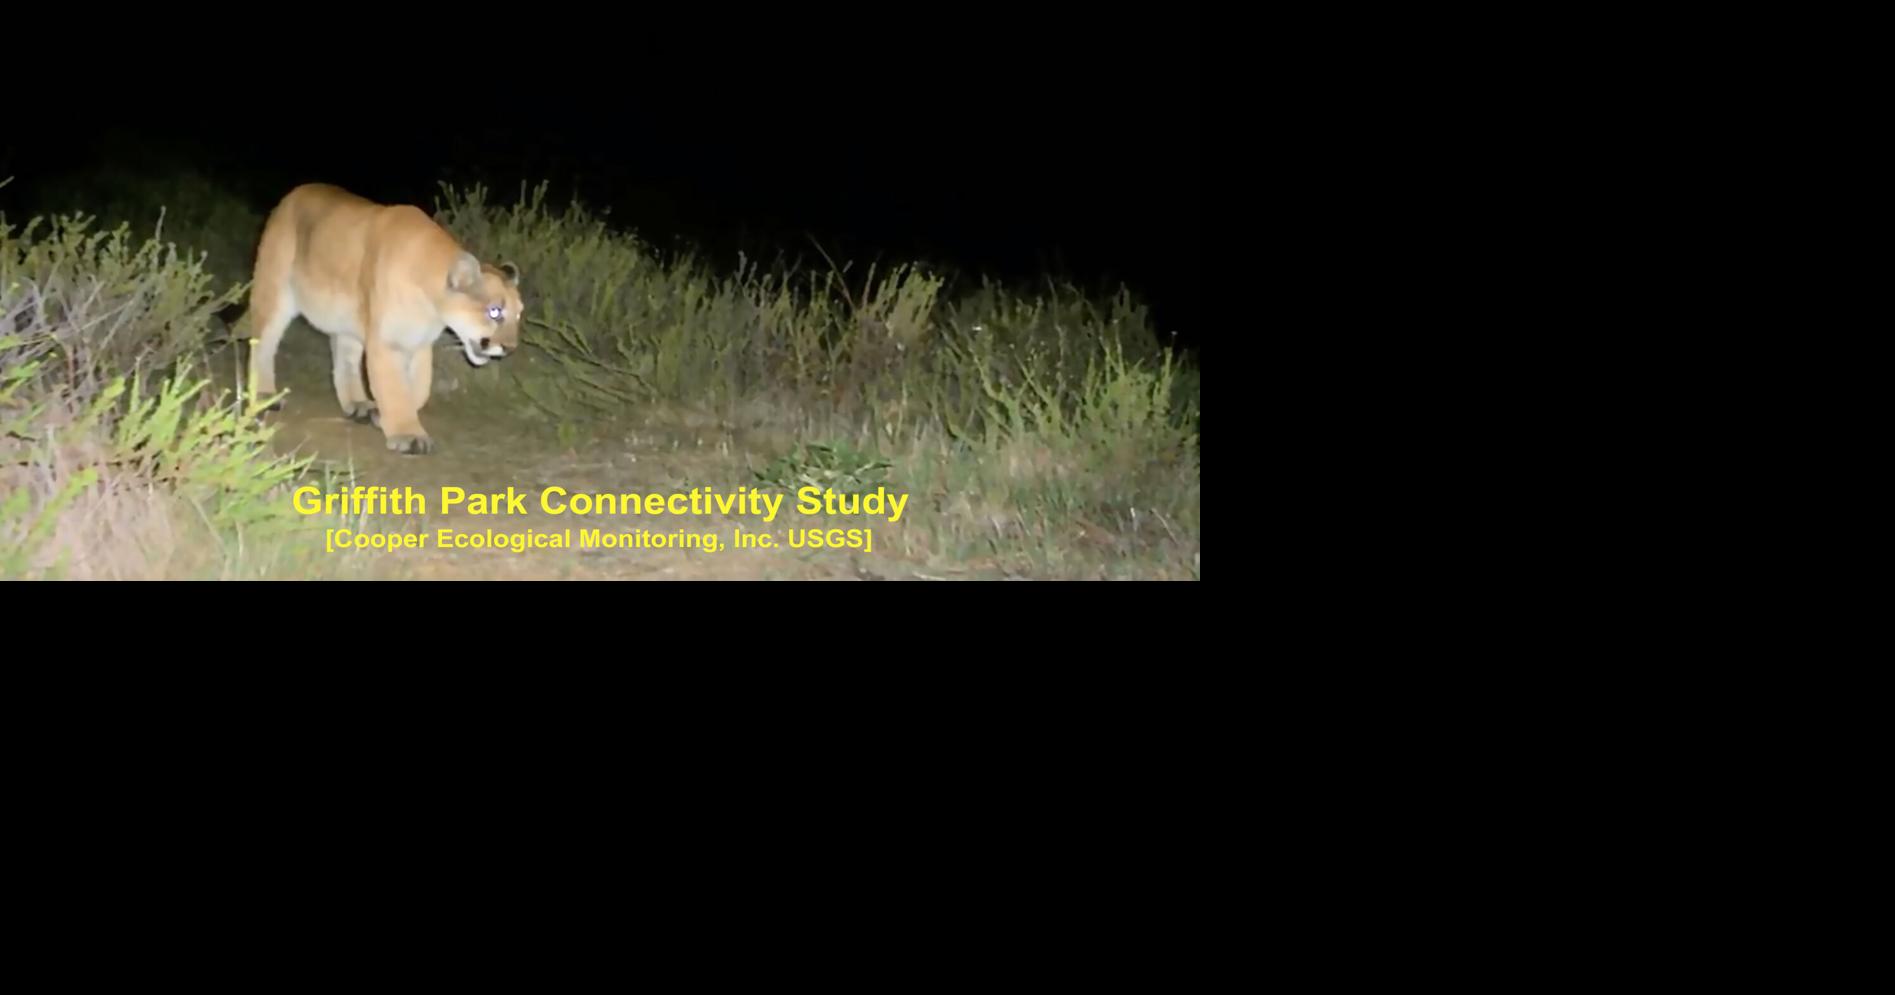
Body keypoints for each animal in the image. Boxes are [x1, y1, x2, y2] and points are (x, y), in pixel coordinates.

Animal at [244, 183, 523, 454]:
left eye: (519, 314)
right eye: (495, 312)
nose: (510, 348)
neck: (430, 303)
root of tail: (295, 192)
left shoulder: (419, 343)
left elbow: (419, 388)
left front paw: (383, 415)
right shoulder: (386, 342)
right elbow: (394, 387)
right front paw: (408, 435)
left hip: (347, 320)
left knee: (345, 358)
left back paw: (358, 404)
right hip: (275, 292)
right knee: (262, 342)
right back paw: (264, 396)